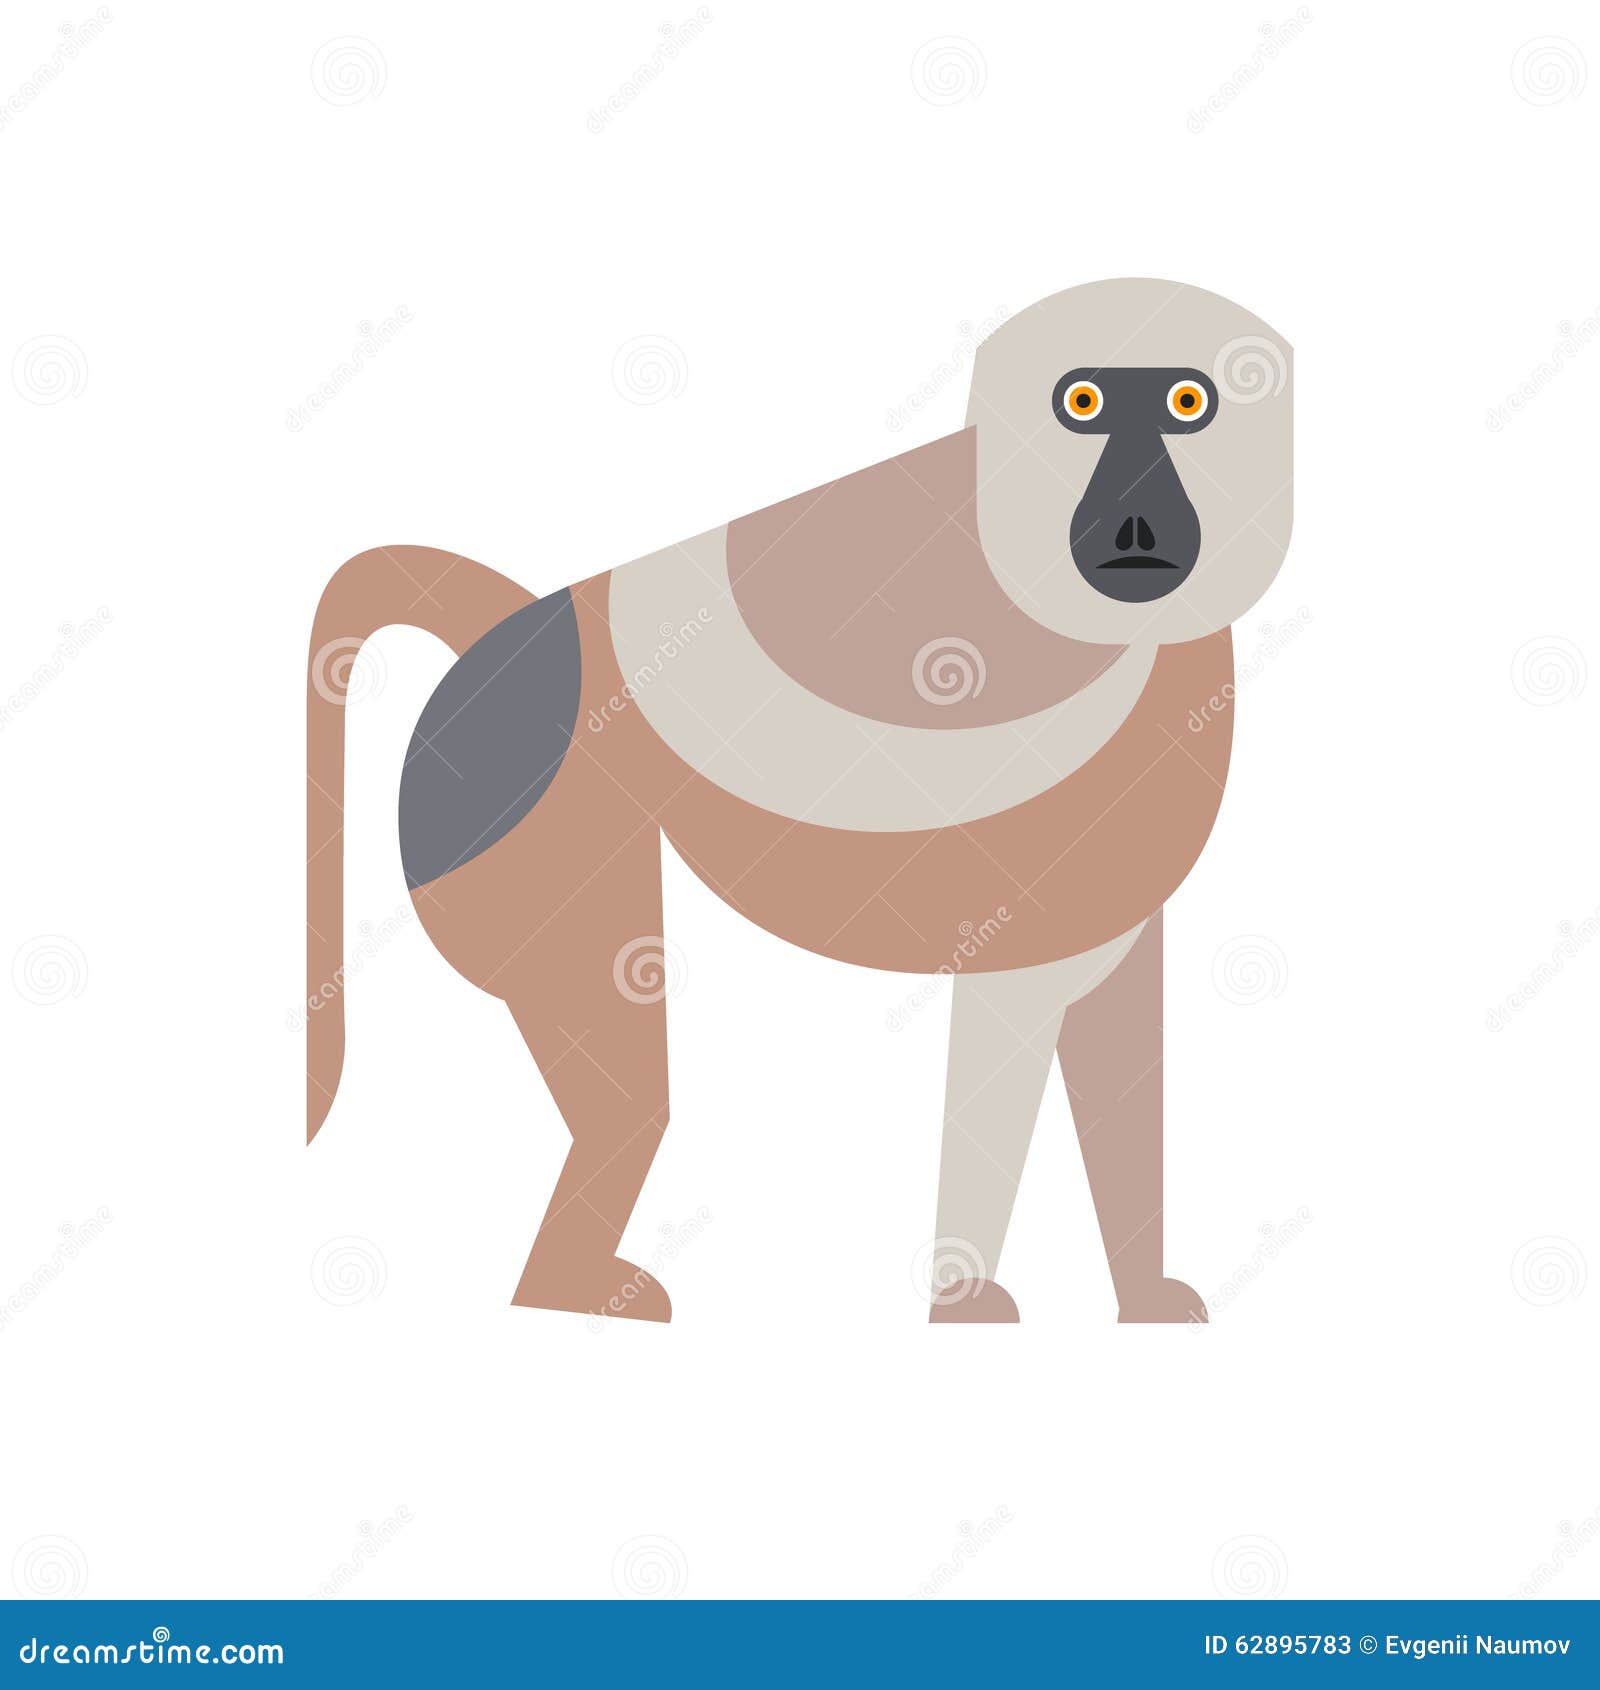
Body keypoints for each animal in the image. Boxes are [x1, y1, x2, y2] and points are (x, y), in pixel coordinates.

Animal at [305, 278, 1293, 1324]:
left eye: (1189, 404)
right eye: (1084, 404)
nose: (1136, 528)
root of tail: (513, 640)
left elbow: (1120, 1053)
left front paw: (1142, 1296)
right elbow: (1003, 1041)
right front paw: (962, 1300)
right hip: (518, 820)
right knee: (624, 1082)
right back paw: (564, 1289)